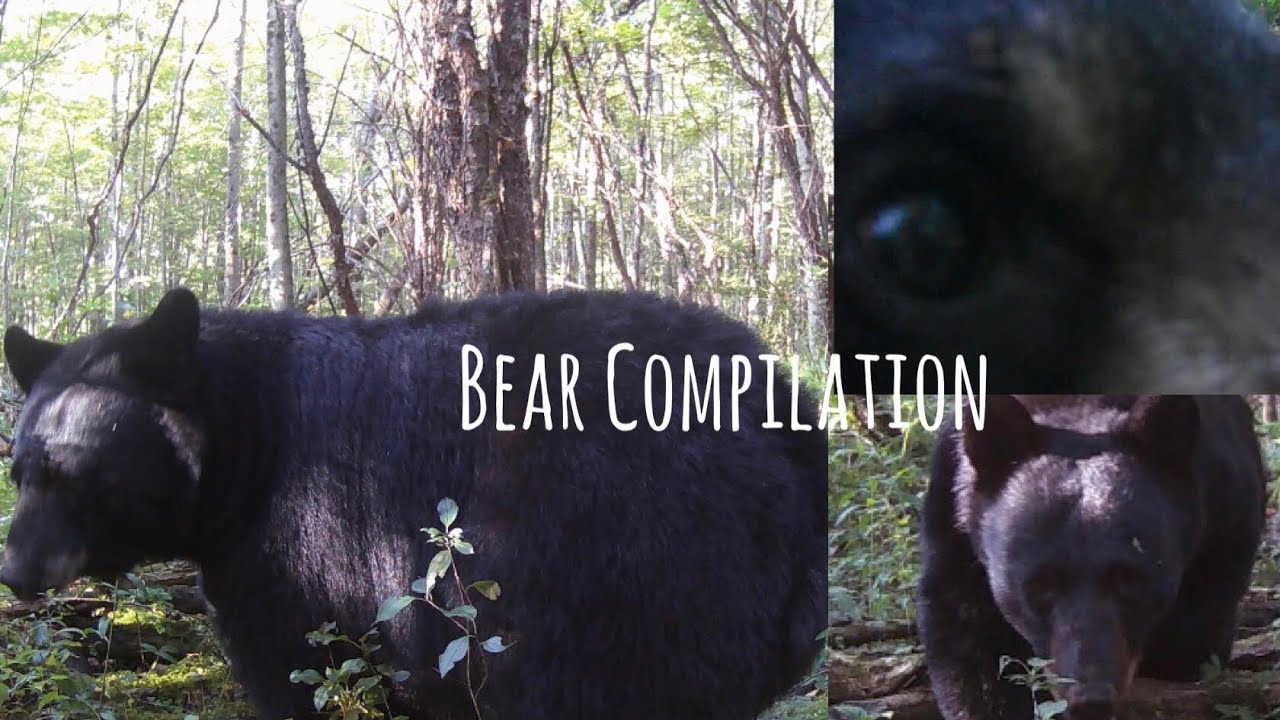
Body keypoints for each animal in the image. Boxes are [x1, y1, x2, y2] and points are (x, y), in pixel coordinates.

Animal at [0, 288, 826, 720]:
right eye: (20, 467)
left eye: (74, 473)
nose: (15, 570)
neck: (245, 443)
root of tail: (784, 413)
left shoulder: (298, 550)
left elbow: (297, 671)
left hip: (630, 567)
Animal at [919, 395, 1266, 720]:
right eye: (1041, 585)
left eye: (1131, 579)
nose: (1091, 699)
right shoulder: (953, 523)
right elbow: (973, 649)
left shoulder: (1228, 515)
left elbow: (1194, 642)